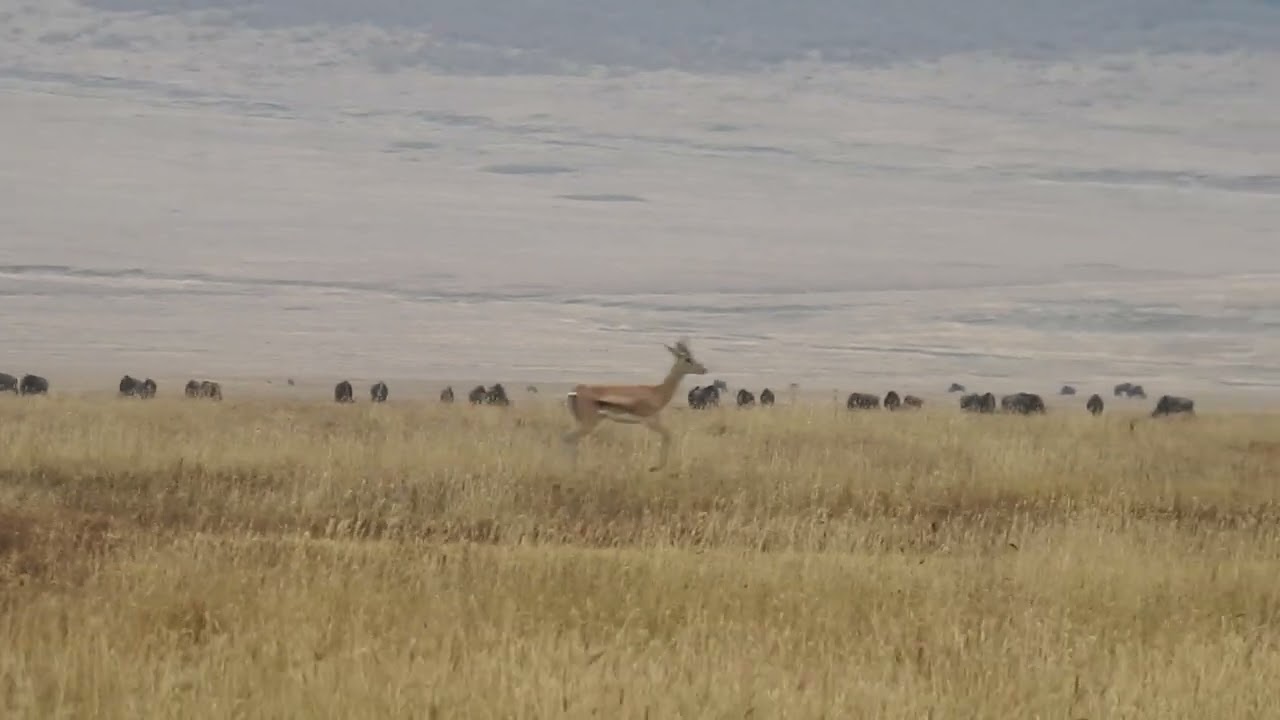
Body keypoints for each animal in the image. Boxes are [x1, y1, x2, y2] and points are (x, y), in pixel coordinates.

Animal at [562, 339, 708, 472]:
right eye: (688, 359)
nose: (704, 369)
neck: (657, 392)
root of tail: (576, 390)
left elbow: (667, 436)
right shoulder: (650, 421)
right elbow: (668, 435)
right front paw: (654, 468)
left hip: (581, 422)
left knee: (572, 441)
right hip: (588, 423)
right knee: (567, 438)